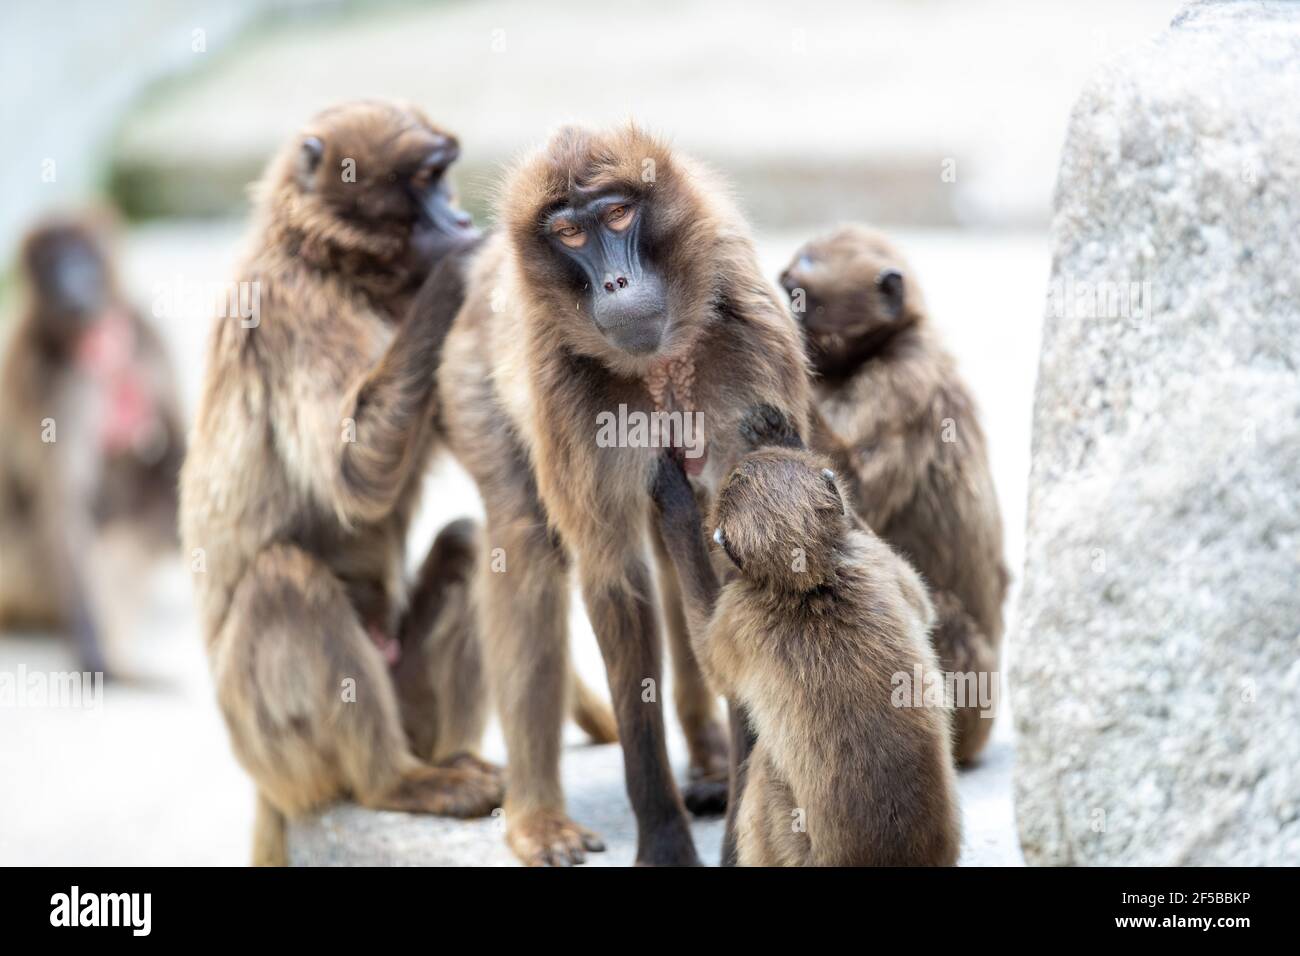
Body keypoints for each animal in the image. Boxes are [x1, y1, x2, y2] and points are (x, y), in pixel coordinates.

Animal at [0, 213, 184, 677]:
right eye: (54, 267)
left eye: (84, 260)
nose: (73, 290)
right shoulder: (59, 385)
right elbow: (63, 508)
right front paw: (93, 650)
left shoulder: (148, 340)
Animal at [179, 100, 510, 866]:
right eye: (425, 179)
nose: (458, 217)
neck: (324, 258)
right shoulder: (292, 306)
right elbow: (352, 473)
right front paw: (459, 273)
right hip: (275, 748)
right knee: (284, 581)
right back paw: (393, 782)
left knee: (467, 546)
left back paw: (448, 760)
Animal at [438, 122, 812, 866]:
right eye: (567, 232)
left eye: (615, 215)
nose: (616, 280)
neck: (660, 366)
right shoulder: (564, 393)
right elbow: (616, 580)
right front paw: (665, 840)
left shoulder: (752, 351)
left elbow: (742, 562)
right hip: (472, 383)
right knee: (526, 542)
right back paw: (537, 816)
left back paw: (712, 763)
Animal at [648, 428, 961, 865]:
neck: (810, 582)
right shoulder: (869, 557)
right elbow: (922, 606)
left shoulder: (738, 612)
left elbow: (714, 669)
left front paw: (675, 506)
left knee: (764, 769)